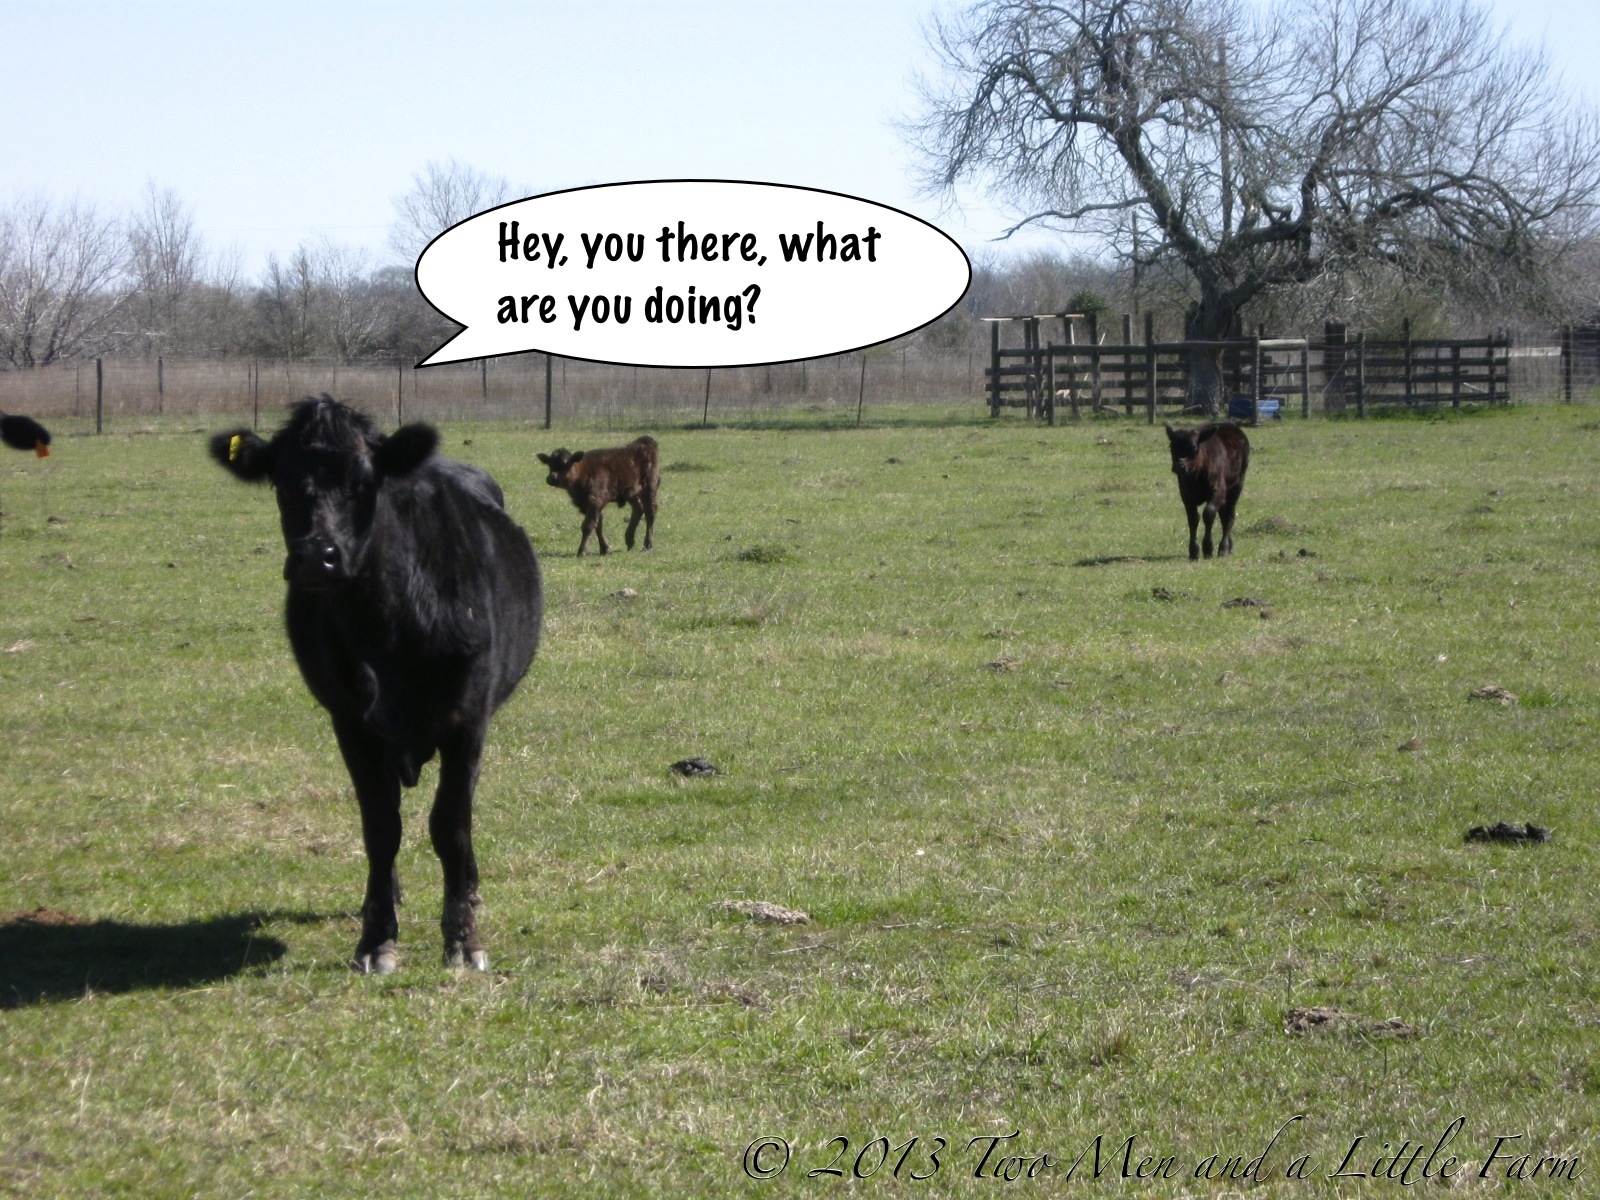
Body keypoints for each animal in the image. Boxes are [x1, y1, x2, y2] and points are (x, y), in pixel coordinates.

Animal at [210, 395, 541, 974]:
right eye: (281, 481)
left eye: (365, 480)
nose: (317, 556)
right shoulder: (351, 724)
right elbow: (381, 828)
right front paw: (377, 938)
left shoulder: (467, 721)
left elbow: (451, 826)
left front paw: (463, 939)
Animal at [1164, 422, 1250, 560]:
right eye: (1172, 447)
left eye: (1194, 448)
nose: (1179, 466)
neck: (1195, 479)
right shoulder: (1185, 495)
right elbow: (1193, 519)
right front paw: (1193, 551)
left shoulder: (1218, 490)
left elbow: (1208, 514)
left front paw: (1208, 548)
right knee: (1223, 515)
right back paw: (1229, 546)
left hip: (1237, 486)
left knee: (1229, 515)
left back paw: (1224, 547)